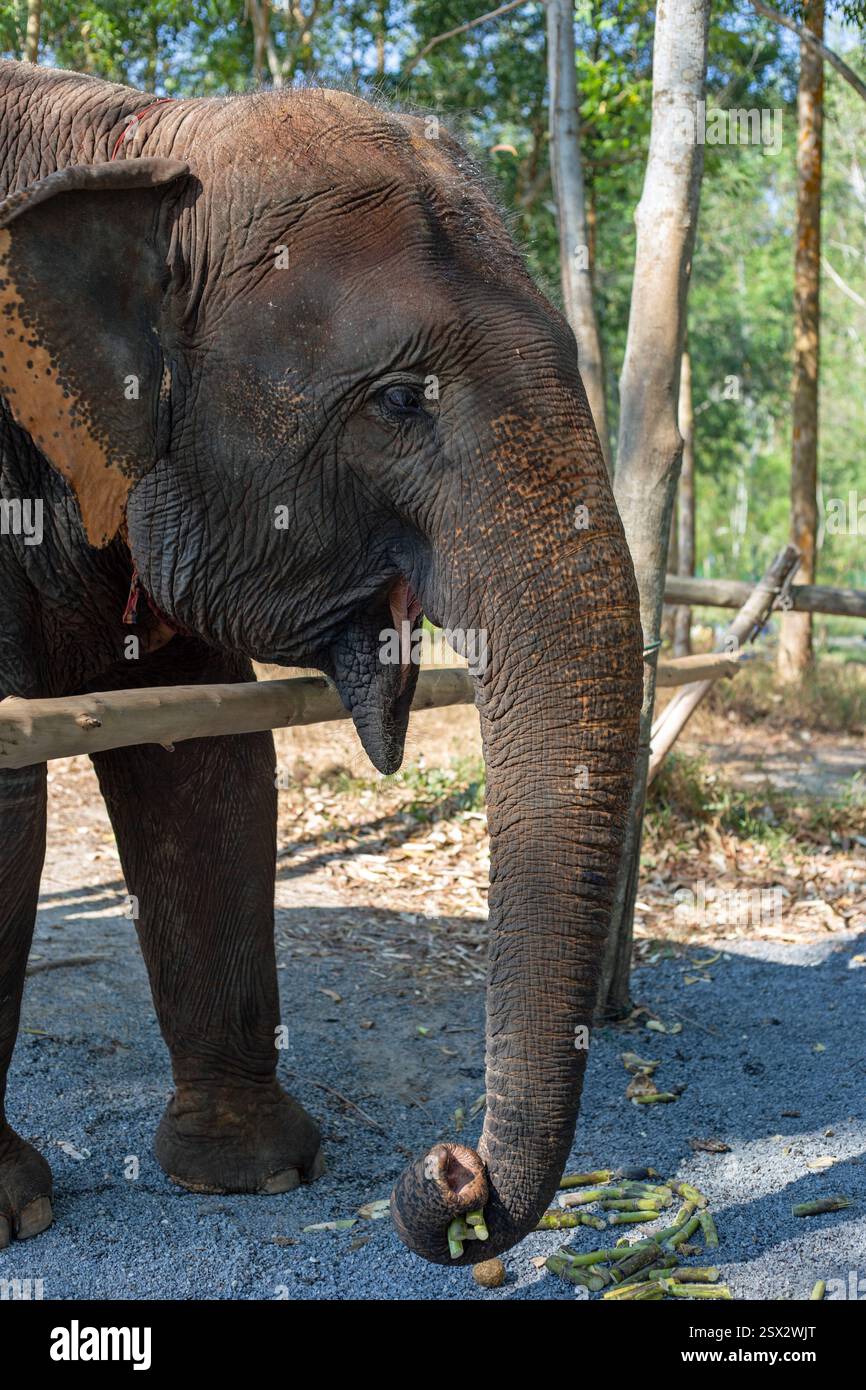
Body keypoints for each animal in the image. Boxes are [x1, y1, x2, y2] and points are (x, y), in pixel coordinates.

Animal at [0, 57, 641, 1266]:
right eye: (399, 399)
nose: (455, 1168)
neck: (138, 131)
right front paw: (17, 1209)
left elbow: (208, 765)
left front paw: (254, 1172)